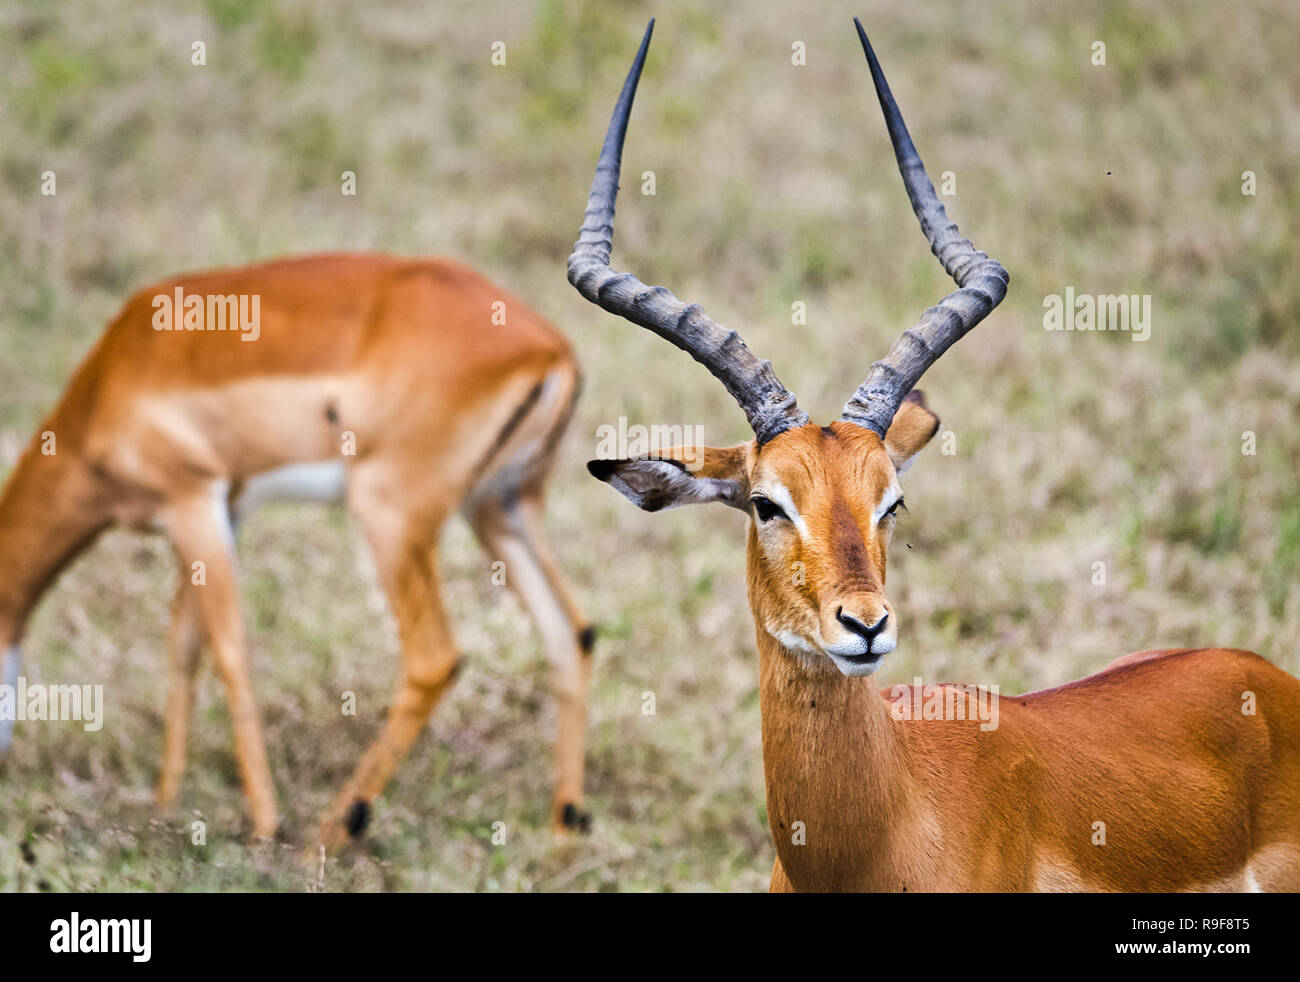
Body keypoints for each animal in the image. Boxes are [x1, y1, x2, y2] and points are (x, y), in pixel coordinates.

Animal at [0, 252, 598, 848]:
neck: (108, 385)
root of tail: (550, 347)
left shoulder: (192, 502)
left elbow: (229, 650)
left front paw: (264, 827)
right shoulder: (229, 511)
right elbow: (185, 645)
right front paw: (165, 806)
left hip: (390, 514)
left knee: (434, 659)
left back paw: (327, 836)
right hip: (501, 508)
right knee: (571, 632)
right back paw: (562, 832)